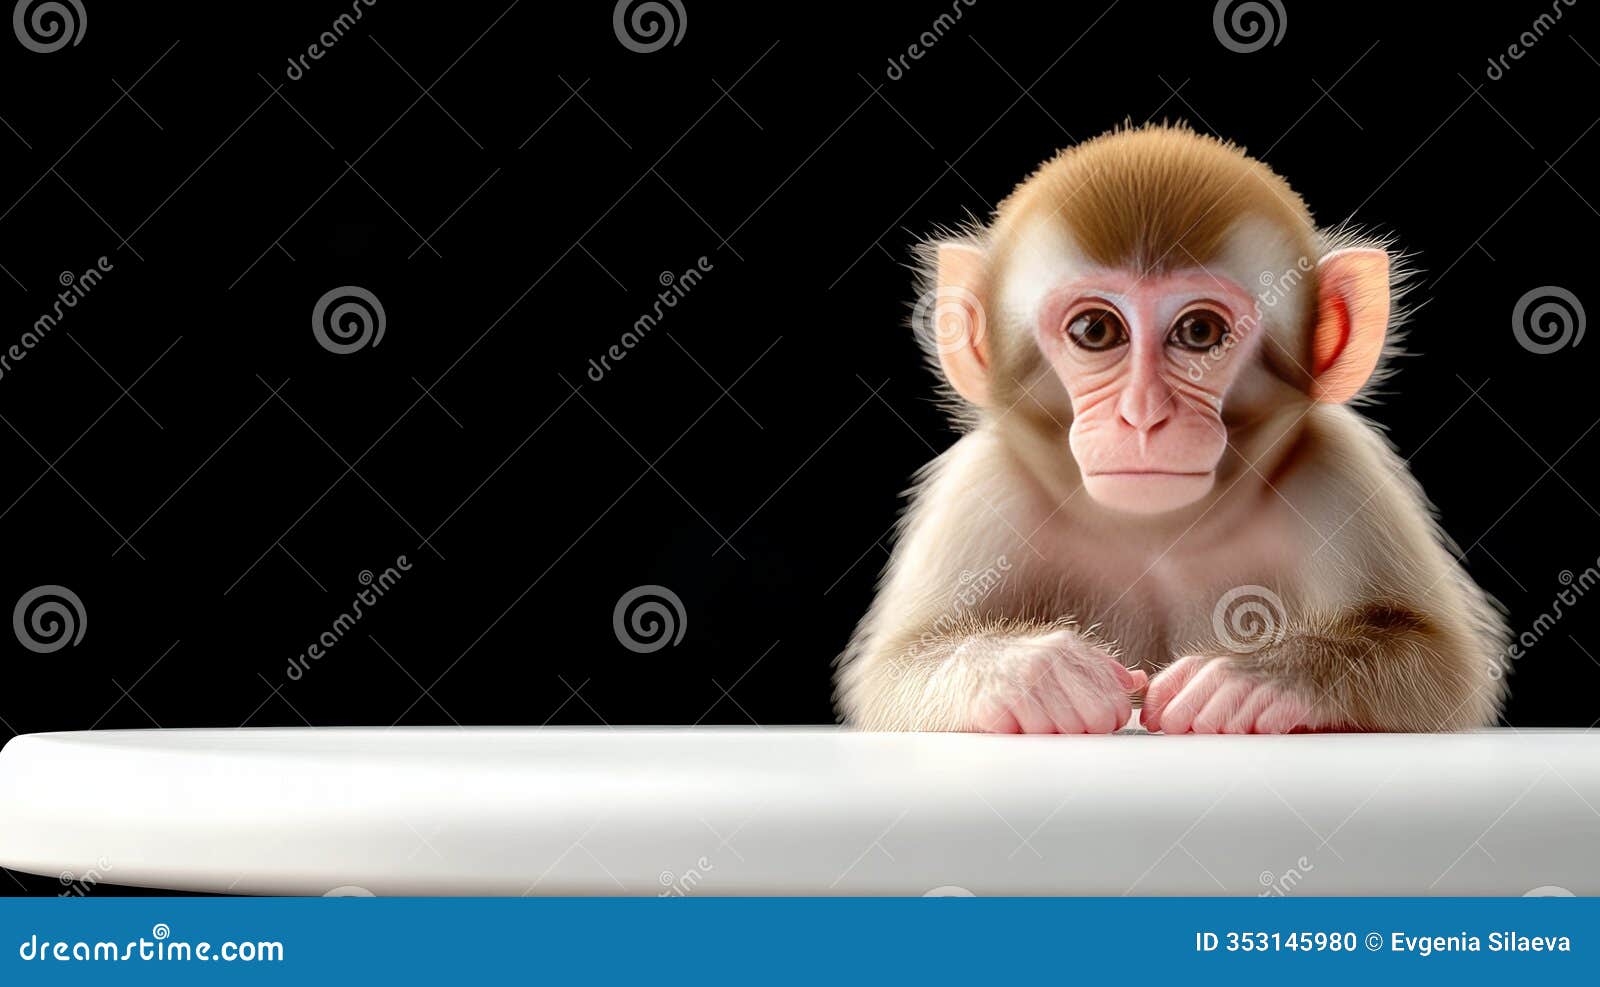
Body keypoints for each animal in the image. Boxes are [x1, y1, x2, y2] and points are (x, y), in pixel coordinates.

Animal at [834, 123, 1508, 734]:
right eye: (1096, 331)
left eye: (1199, 333)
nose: (1143, 413)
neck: (1159, 531)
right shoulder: (983, 486)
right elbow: (891, 673)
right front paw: (1037, 677)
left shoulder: (1339, 469)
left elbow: (1444, 665)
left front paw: (1254, 678)